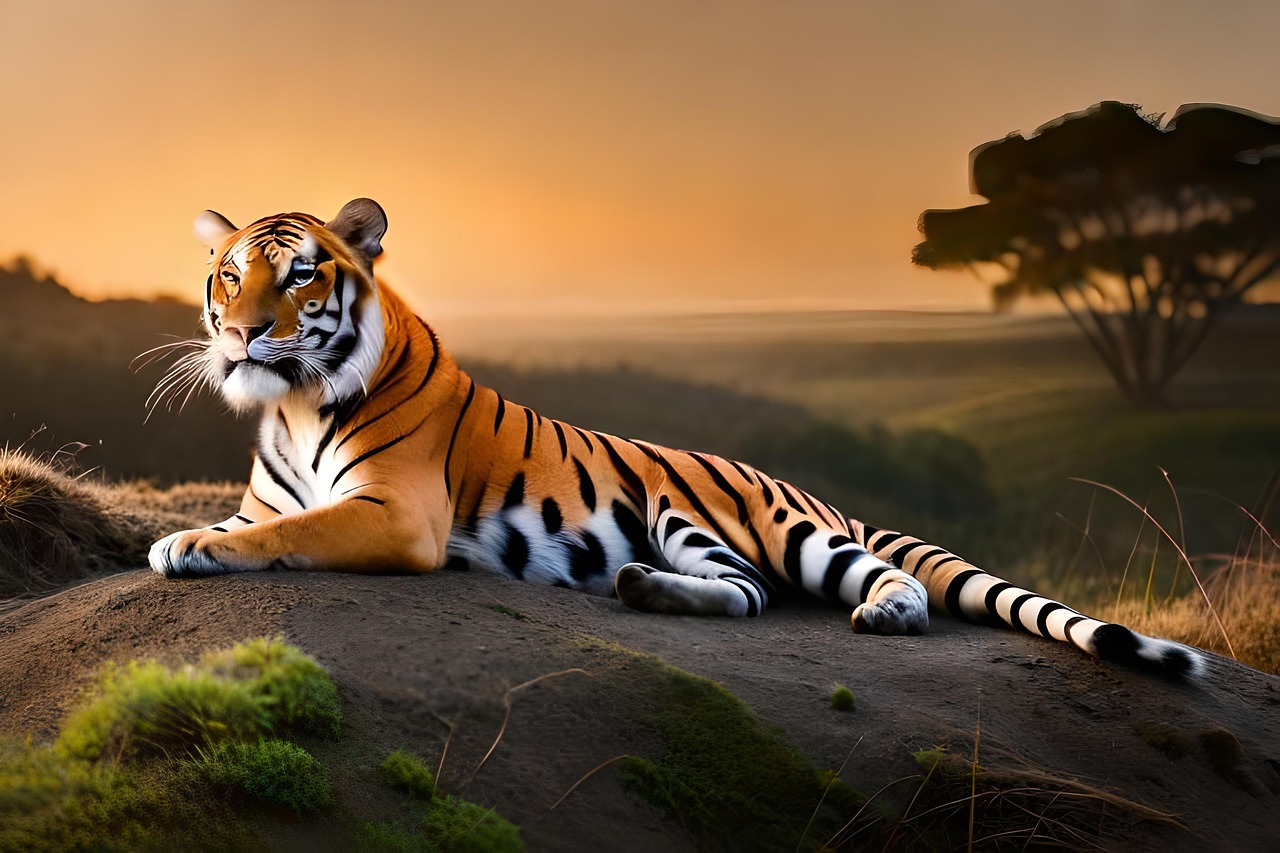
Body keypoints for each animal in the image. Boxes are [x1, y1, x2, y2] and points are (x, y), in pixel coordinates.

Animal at [147, 198, 1203, 680]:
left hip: (771, 530)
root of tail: (815, 491)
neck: (291, 403)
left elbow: (286, 533)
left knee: (853, 584)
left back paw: (884, 614)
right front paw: (180, 537)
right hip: (694, 535)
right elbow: (258, 520)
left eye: (299, 275)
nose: (240, 333)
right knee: (742, 595)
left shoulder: (397, 514)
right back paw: (639, 587)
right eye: (230, 272)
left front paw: (187, 545)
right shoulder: (274, 493)